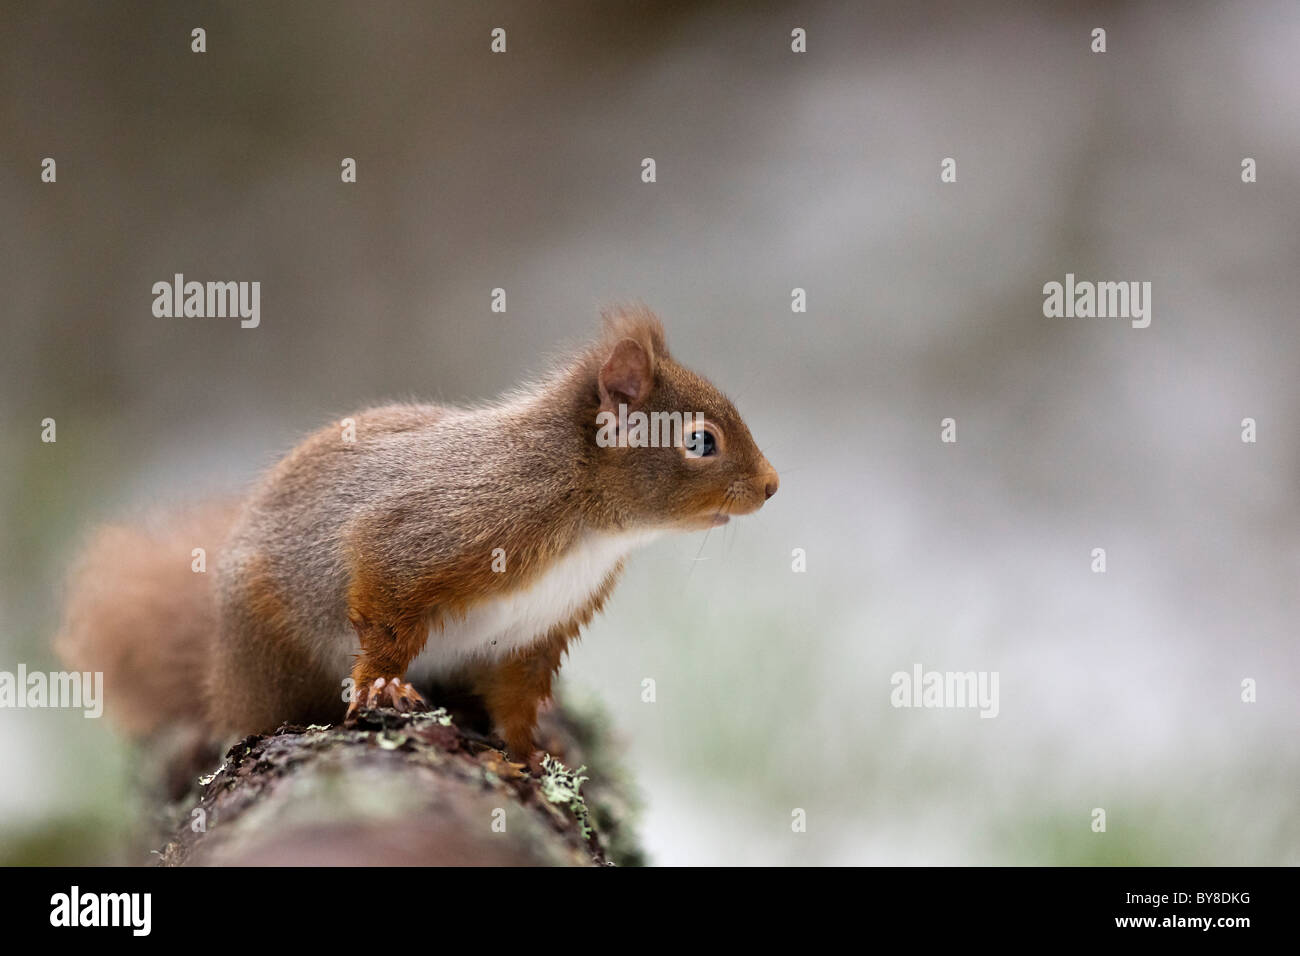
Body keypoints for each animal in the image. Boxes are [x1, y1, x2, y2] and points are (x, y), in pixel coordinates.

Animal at [54, 306, 778, 765]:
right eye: (701, 442)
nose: (772, 486)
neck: (593, 525)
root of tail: (218, 674)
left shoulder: (538, 628)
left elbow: (517, 696)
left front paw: (532, 752)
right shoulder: (443, 527)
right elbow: (385, 603)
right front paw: (383, 687)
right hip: (272, 651)